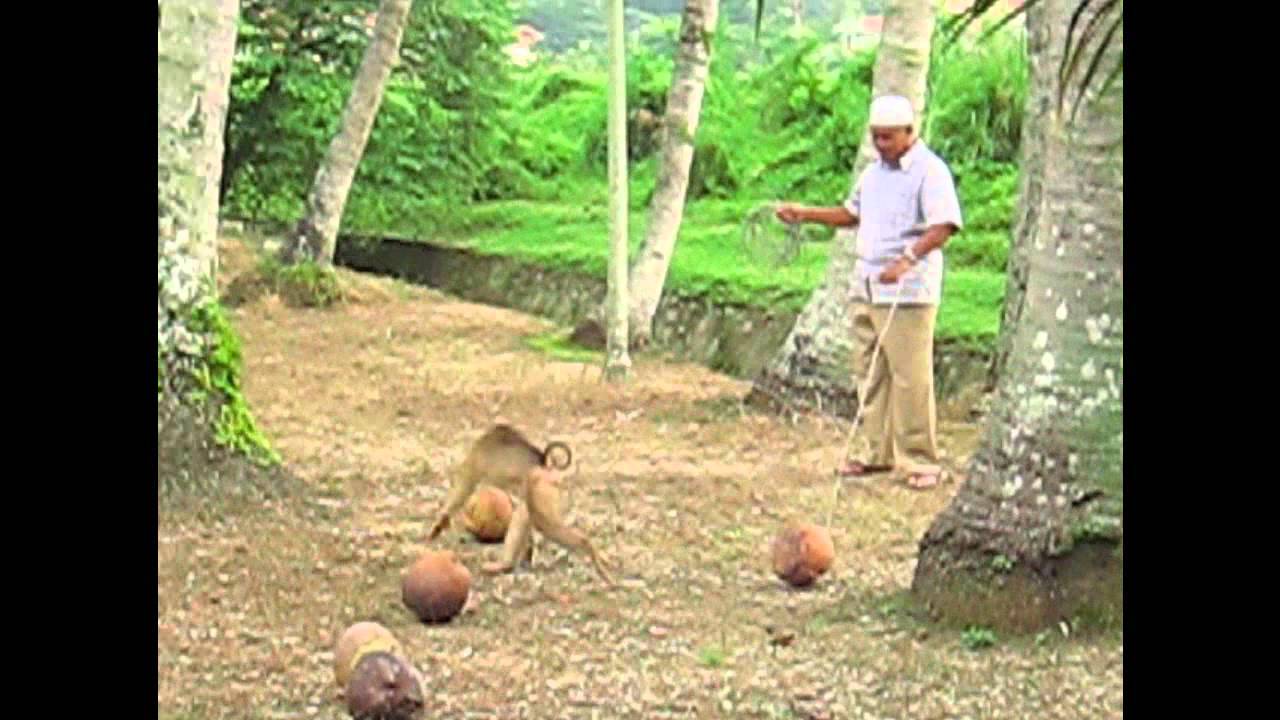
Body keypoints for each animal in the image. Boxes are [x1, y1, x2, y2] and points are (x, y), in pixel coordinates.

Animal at [427, 424, 616, 587]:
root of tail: (543, 463)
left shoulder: (474, 465)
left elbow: (461, 492)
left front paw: (439, 525)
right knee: (523, 515)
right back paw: (509, 563)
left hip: (539, 491)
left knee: (548, 526)